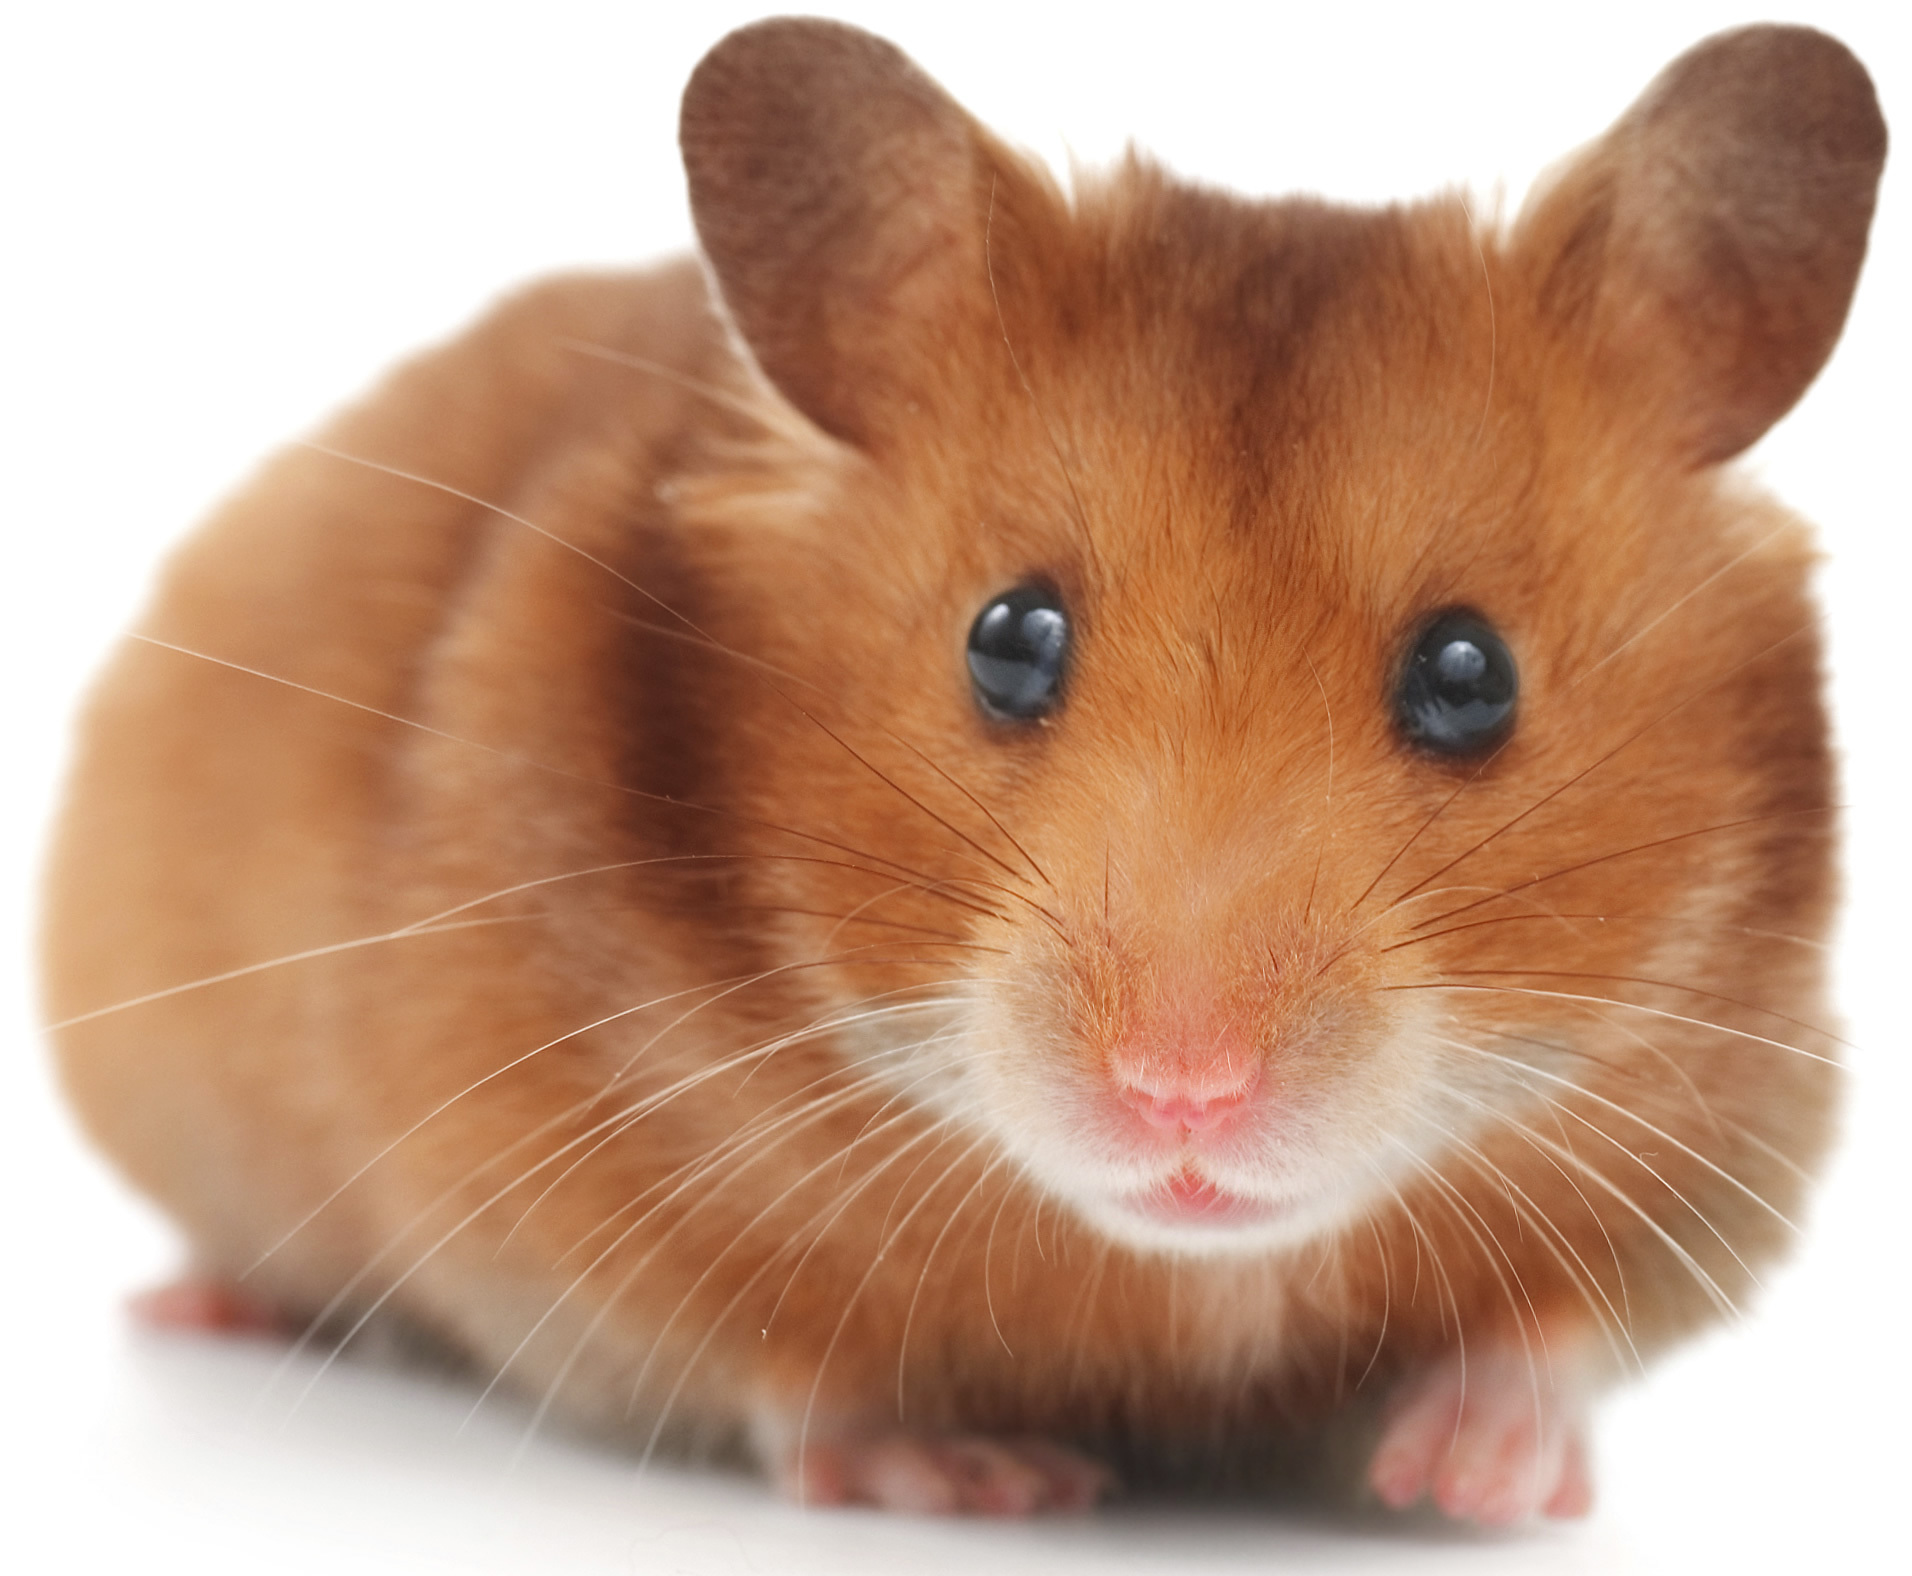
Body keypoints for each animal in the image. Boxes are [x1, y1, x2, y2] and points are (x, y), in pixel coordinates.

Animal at [40, 17, 1885, 1523]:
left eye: (1468, 675)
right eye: (1008, 640)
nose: (1183, 1093)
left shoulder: (1736, 1138)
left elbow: (1557, 1328)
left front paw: (1472, 1483)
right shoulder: (563, 1202)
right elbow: (792, 1367)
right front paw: (991, 1474)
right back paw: (199, 1304)